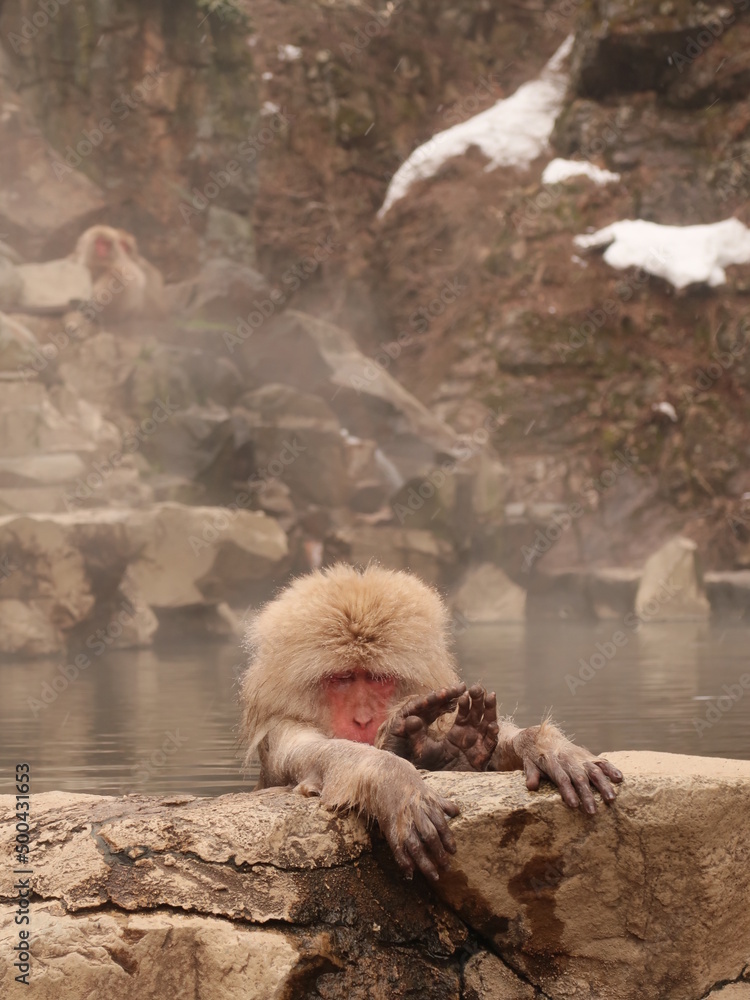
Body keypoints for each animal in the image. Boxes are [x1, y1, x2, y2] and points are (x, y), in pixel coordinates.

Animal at [239, 563, 623, 882]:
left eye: (377, 679)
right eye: (343, 679)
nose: (362, 719)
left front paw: (545, 746)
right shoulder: (283, 729)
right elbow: (318, 758)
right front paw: (396, 781)